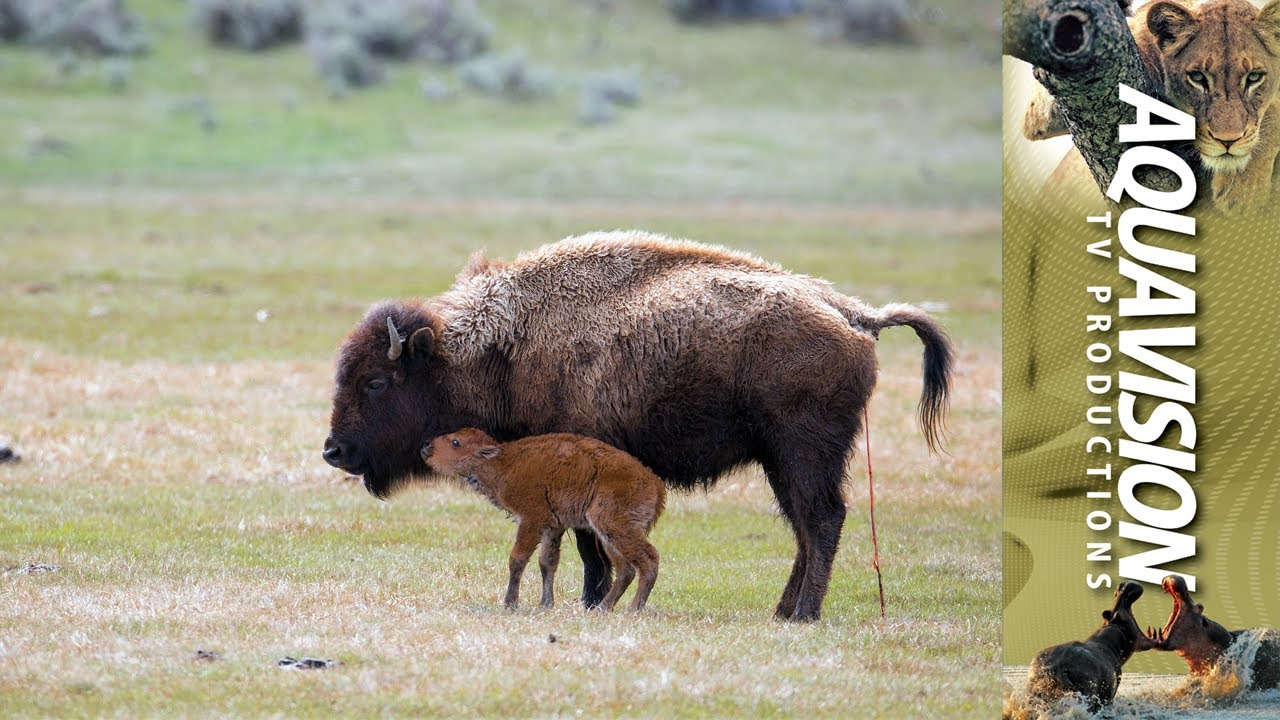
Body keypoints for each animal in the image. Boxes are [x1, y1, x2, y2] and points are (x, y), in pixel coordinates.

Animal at [323, 231, 953, 621]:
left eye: (376, 381)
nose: (334, 451)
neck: (494, 348)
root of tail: (854, 314)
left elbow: (588, 547)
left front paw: (589, 601)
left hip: (803, 450)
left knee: (821, 519)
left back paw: (803, 614)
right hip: (782, 460)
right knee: (803, 524)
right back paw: (781, 611)